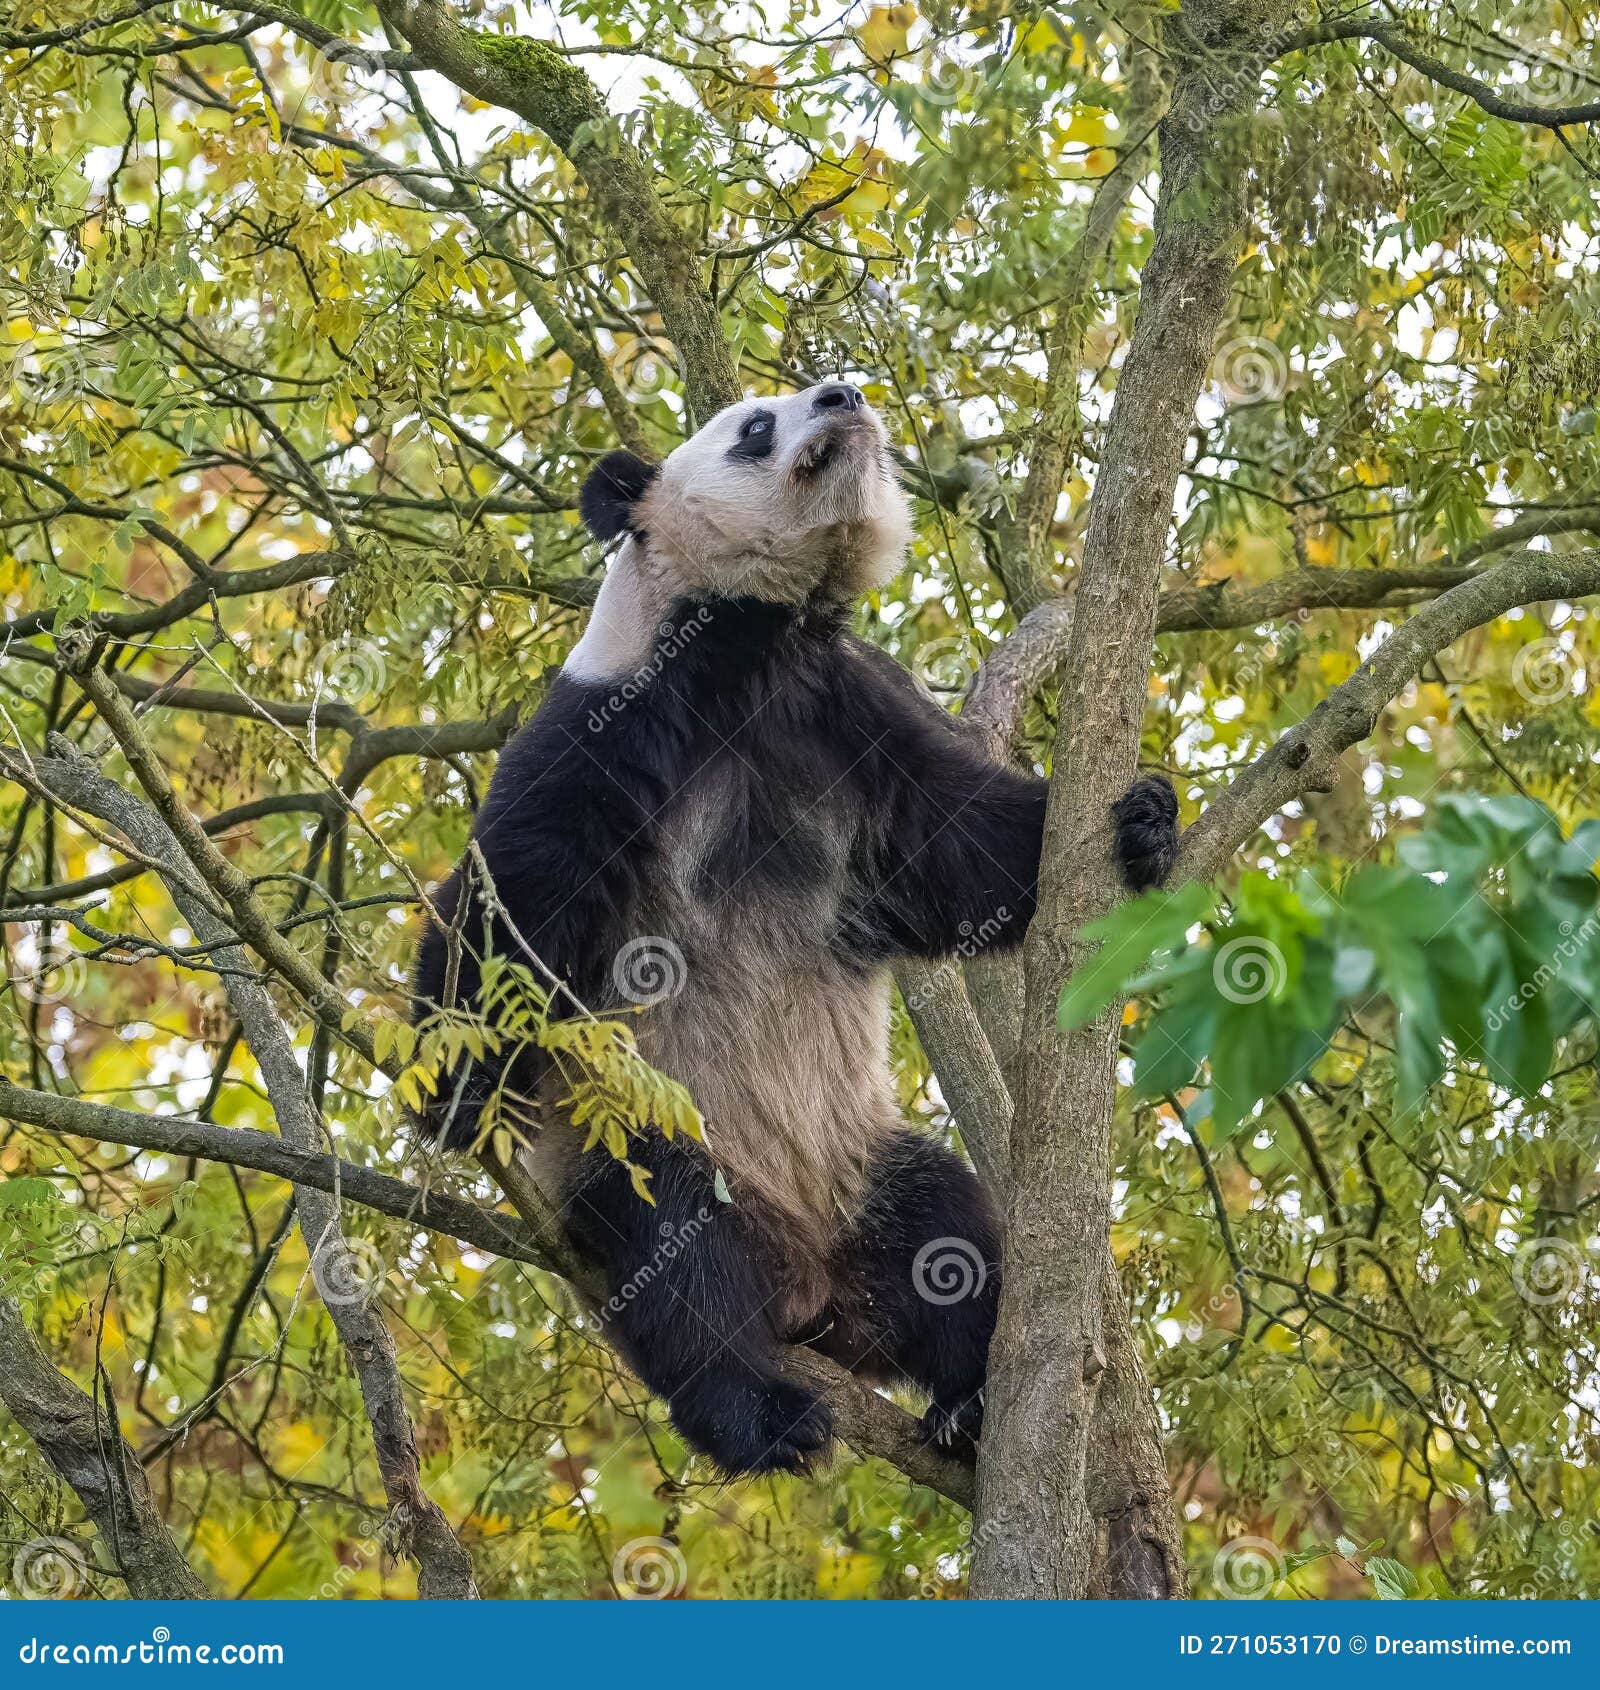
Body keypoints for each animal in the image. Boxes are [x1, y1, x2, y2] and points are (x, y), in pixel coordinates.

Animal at [412, 381, 1178, 1476]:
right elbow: (510, 897)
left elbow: (959, 846)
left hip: (864, 1161)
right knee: (674, 1253)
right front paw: (457, 1085)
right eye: (754, 427)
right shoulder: (611, 723)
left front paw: (1143, 820)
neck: (753, 652)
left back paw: (970, 1399)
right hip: (639, 1131)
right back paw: (763, 1415)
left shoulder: (850, 713)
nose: (843, 394)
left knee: (947, 1228)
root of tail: (815, 1294)